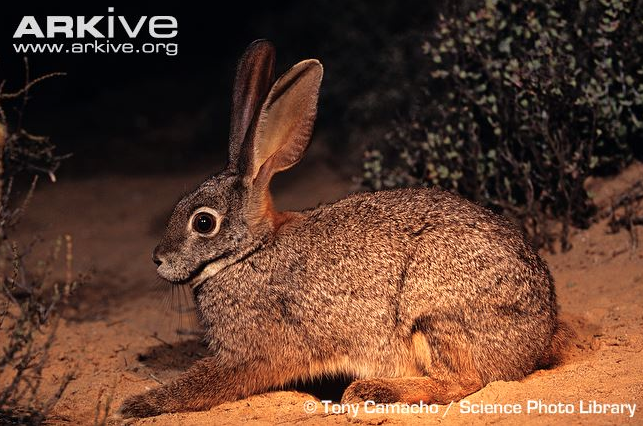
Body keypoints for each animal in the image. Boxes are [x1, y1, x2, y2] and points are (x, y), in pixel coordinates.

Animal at [119, 40, 571, 418]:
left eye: (203, 222)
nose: (158, 258)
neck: (248, 253)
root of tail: (539, 336)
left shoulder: (247, 353)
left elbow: (200, 386)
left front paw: (136, 405)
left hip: (434, 317)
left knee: (464, 380)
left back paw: (371, 391)